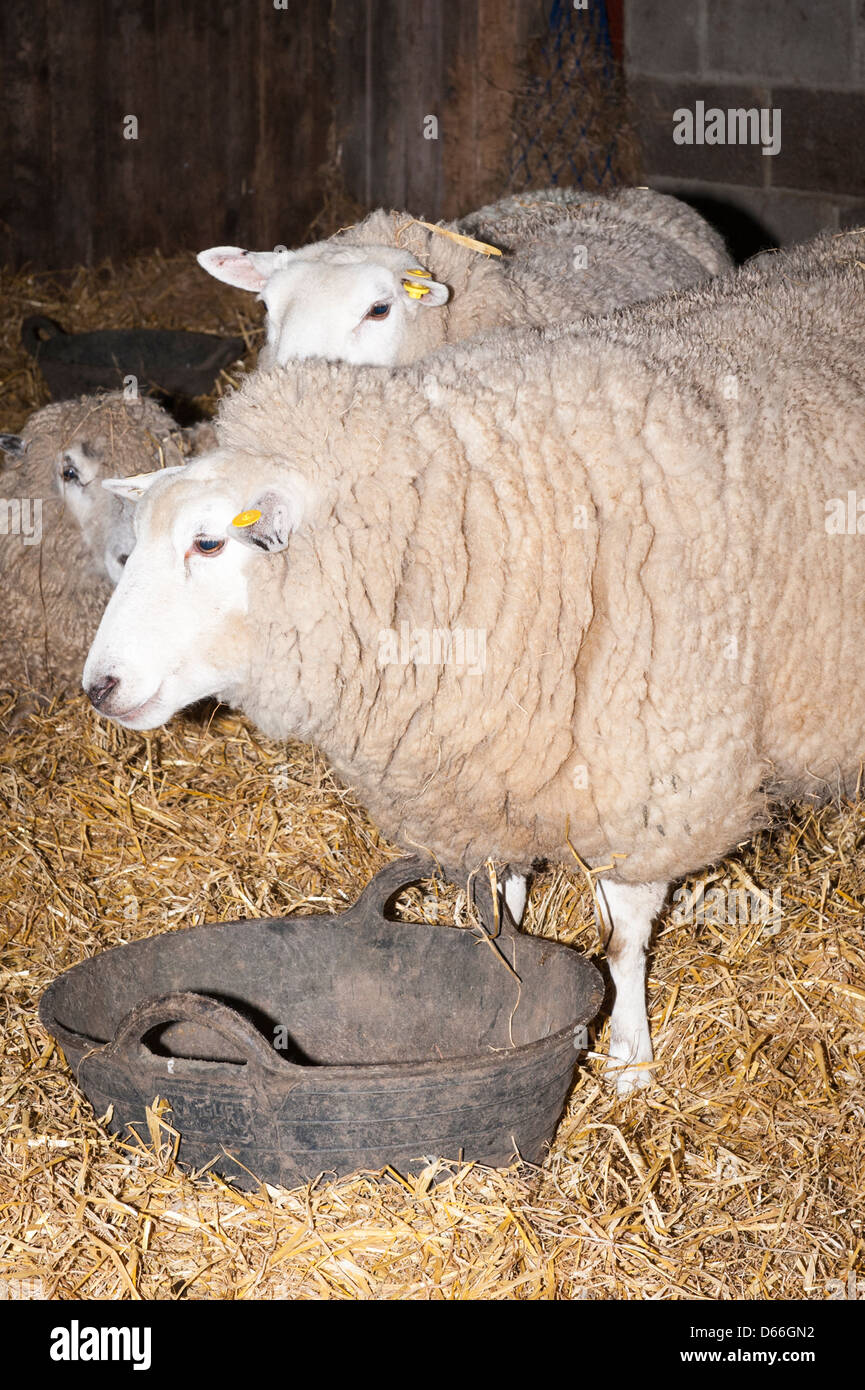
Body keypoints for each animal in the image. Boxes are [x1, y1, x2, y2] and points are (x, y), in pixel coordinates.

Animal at [82, 230, 865, 1093]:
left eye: (208, 542)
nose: (99, 687)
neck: (485, 517)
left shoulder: (652, 777)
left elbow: (623, 940)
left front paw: (628, 1061)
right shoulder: (486, 771)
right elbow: (506, 906)